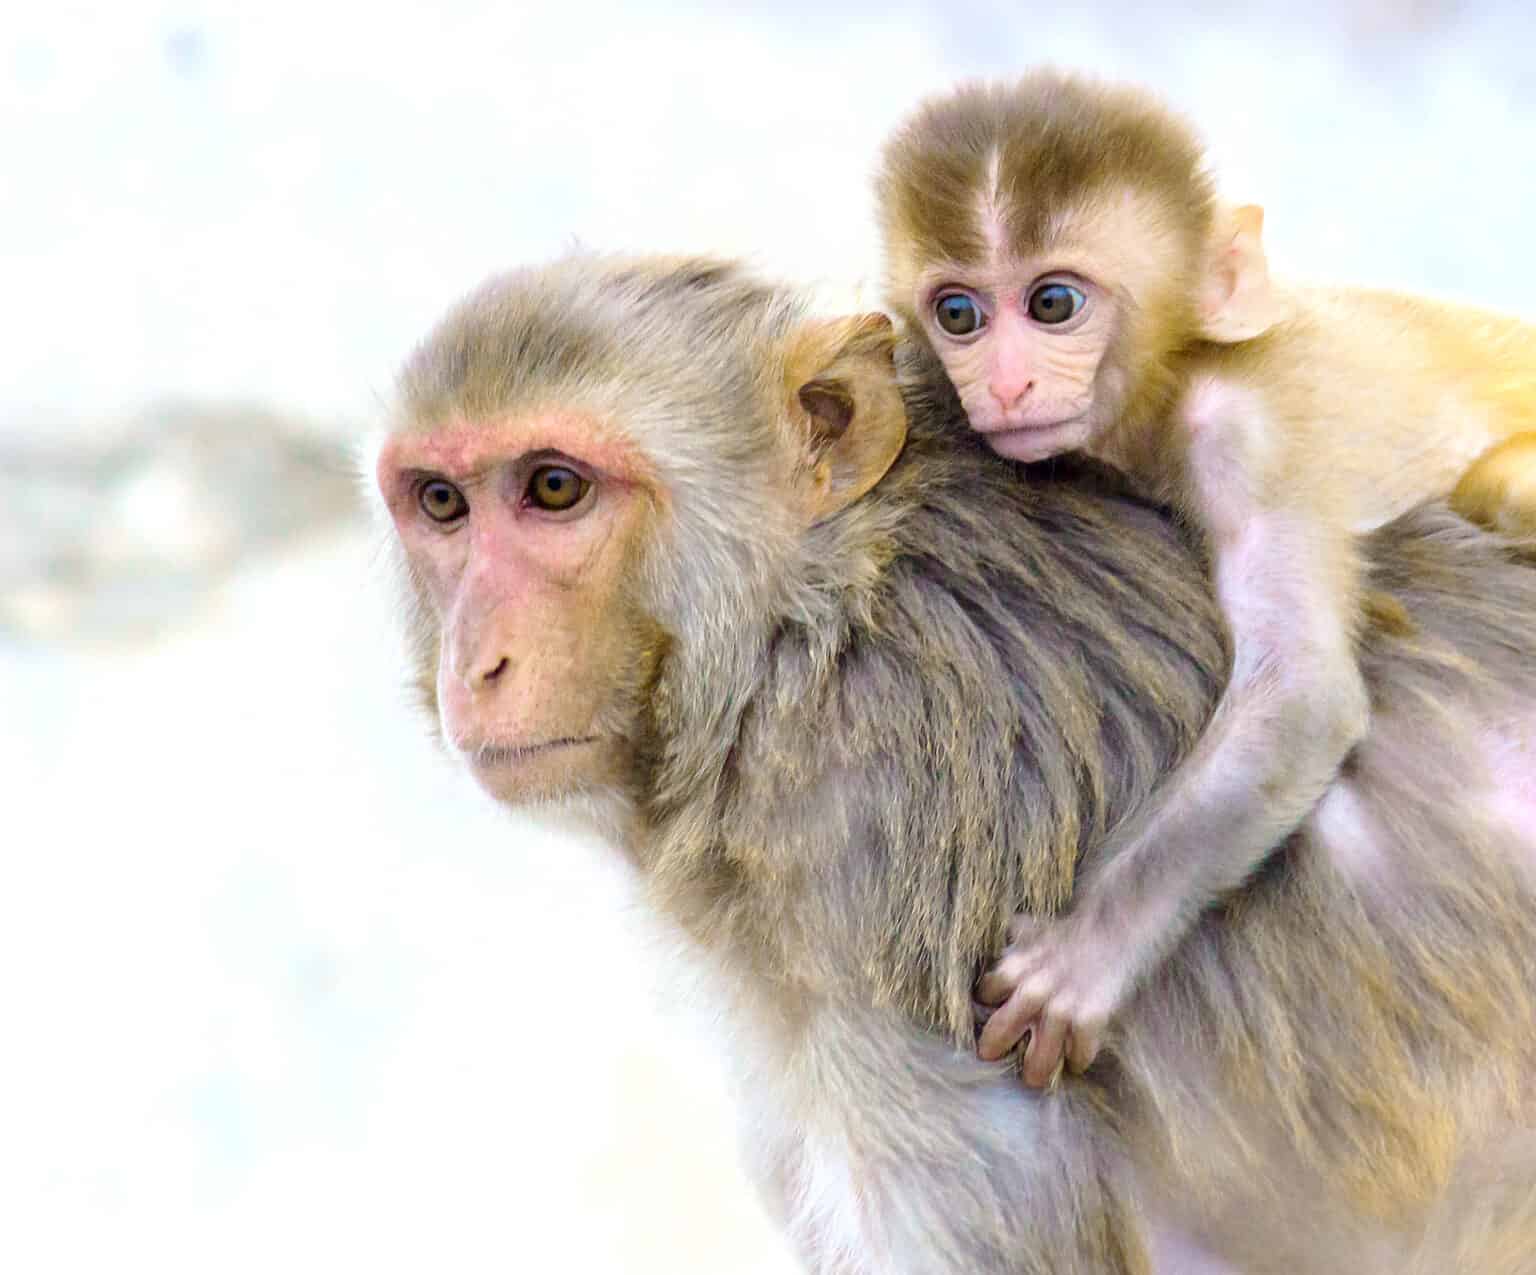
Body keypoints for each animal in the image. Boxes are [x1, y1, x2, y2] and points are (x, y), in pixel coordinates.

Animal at [874, 72, 1536, 1084]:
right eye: (958, 315)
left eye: (1053, 303)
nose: (1008, 386)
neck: (1173, 377)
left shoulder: (1245, 434)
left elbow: (1300, 696)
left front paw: (1085, 954)